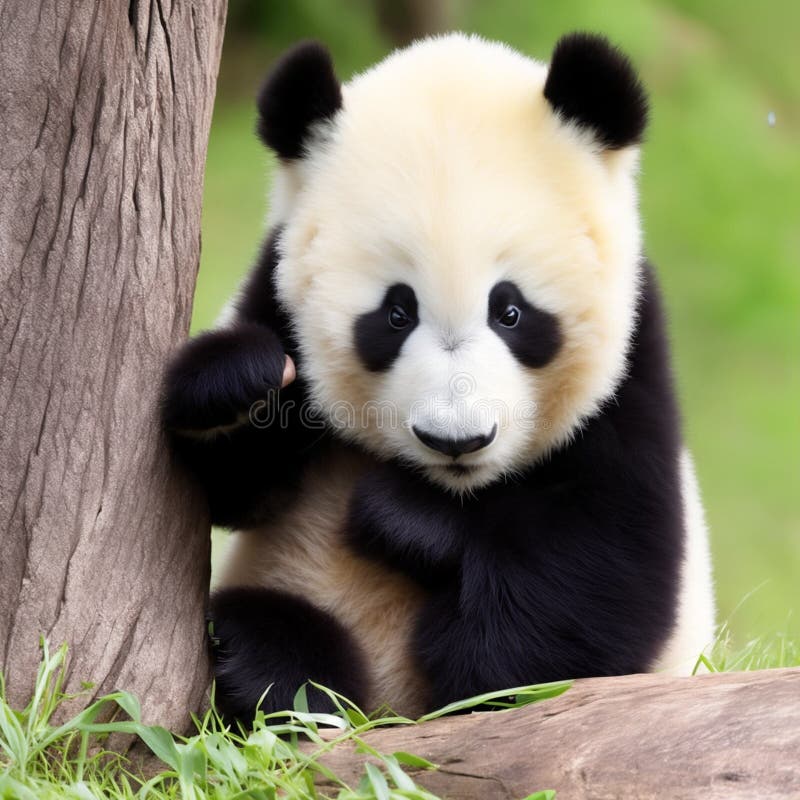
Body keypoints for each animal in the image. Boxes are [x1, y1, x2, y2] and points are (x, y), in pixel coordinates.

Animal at [162, 32, 716, 722]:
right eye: (396, 314)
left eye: (511, 311)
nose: (457, 441)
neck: (456, 488)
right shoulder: (275, 289)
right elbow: (232, 487)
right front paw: (237, 390)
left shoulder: (633, 369)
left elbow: (600, 576)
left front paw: (405, 521)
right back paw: (262, 656)